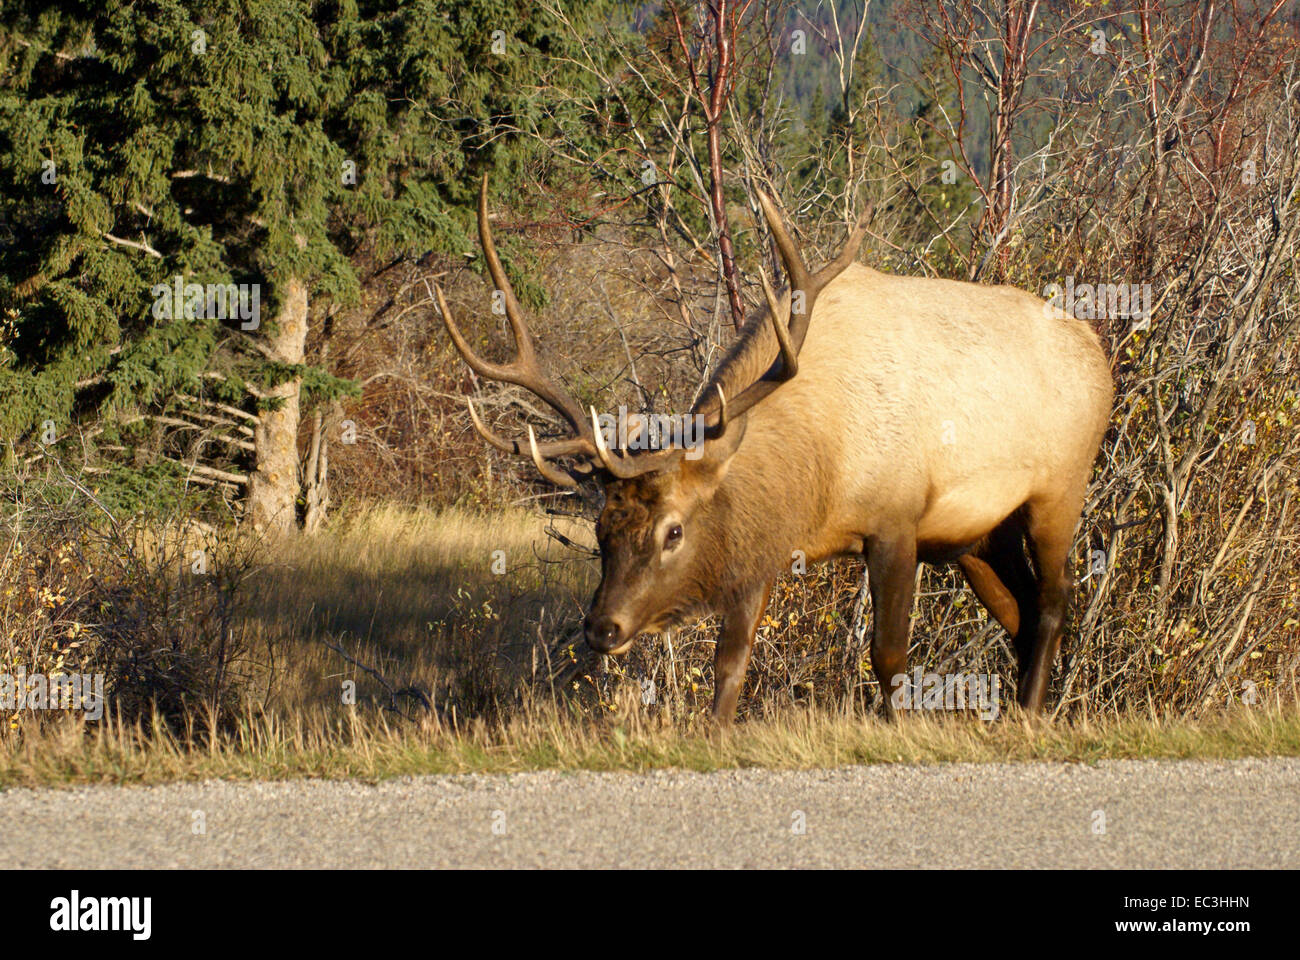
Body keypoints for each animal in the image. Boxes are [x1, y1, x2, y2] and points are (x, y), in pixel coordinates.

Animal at [436, 175, 1114, 722]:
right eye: (601, 530)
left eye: (673, 530)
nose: (603, 627)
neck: (820, 472)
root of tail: (1099, 351)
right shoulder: (764, 541)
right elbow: (731, 661)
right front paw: (712, 734)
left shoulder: (896, 519)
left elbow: (889, 655)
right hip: (979, 536)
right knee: (1019, 613)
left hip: (1060, 487)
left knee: (1053, 602)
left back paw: (1032, 716)